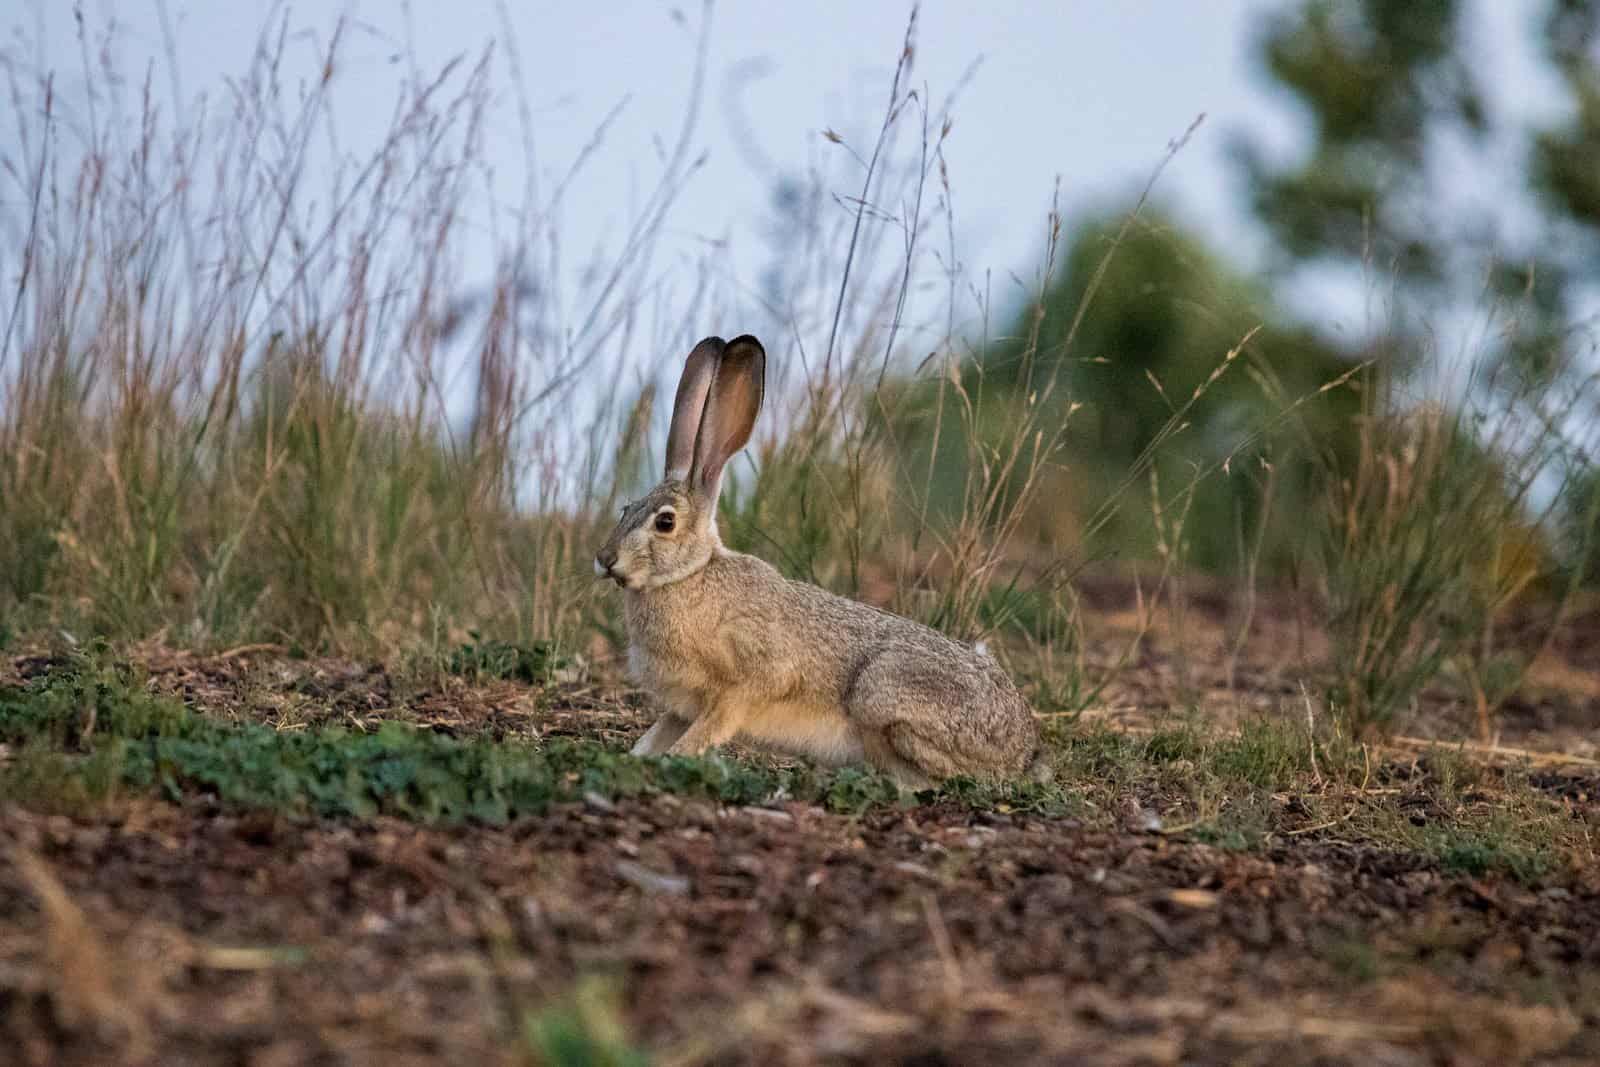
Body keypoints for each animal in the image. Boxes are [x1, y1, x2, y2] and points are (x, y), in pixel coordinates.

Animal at [595, 334, 1047, 789]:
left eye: (665, 522)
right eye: (626, 509)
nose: (605, 560)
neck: (689, 577)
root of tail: (1024, 748)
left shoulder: (749, 682)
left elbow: (707, 731)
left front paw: (674, 759)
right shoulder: (682, 706)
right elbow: (657, 736)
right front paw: (638, 759)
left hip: (881, 695)